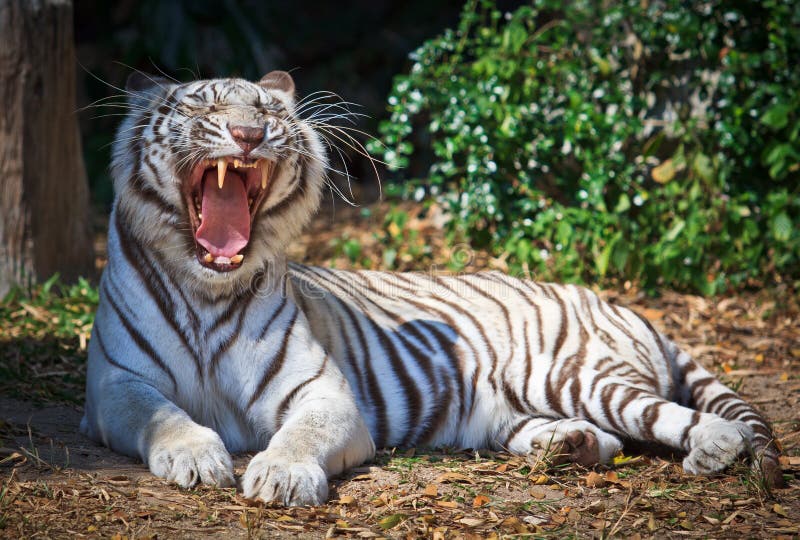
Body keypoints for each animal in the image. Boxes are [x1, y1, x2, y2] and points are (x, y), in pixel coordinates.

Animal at [80, 70, 783, 507]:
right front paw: (199, 459)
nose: (250, 134)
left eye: (270, 111)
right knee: (602, 440)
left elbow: (299, 434)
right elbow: (162, 415)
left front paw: (279, 475)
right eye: (201, 106)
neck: (209, 289)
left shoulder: (326, 393)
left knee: (682, 419)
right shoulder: (114, 386)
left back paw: (712, 450)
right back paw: (567, 445)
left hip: (580, 376)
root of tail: (615, 302)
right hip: (519, 409)